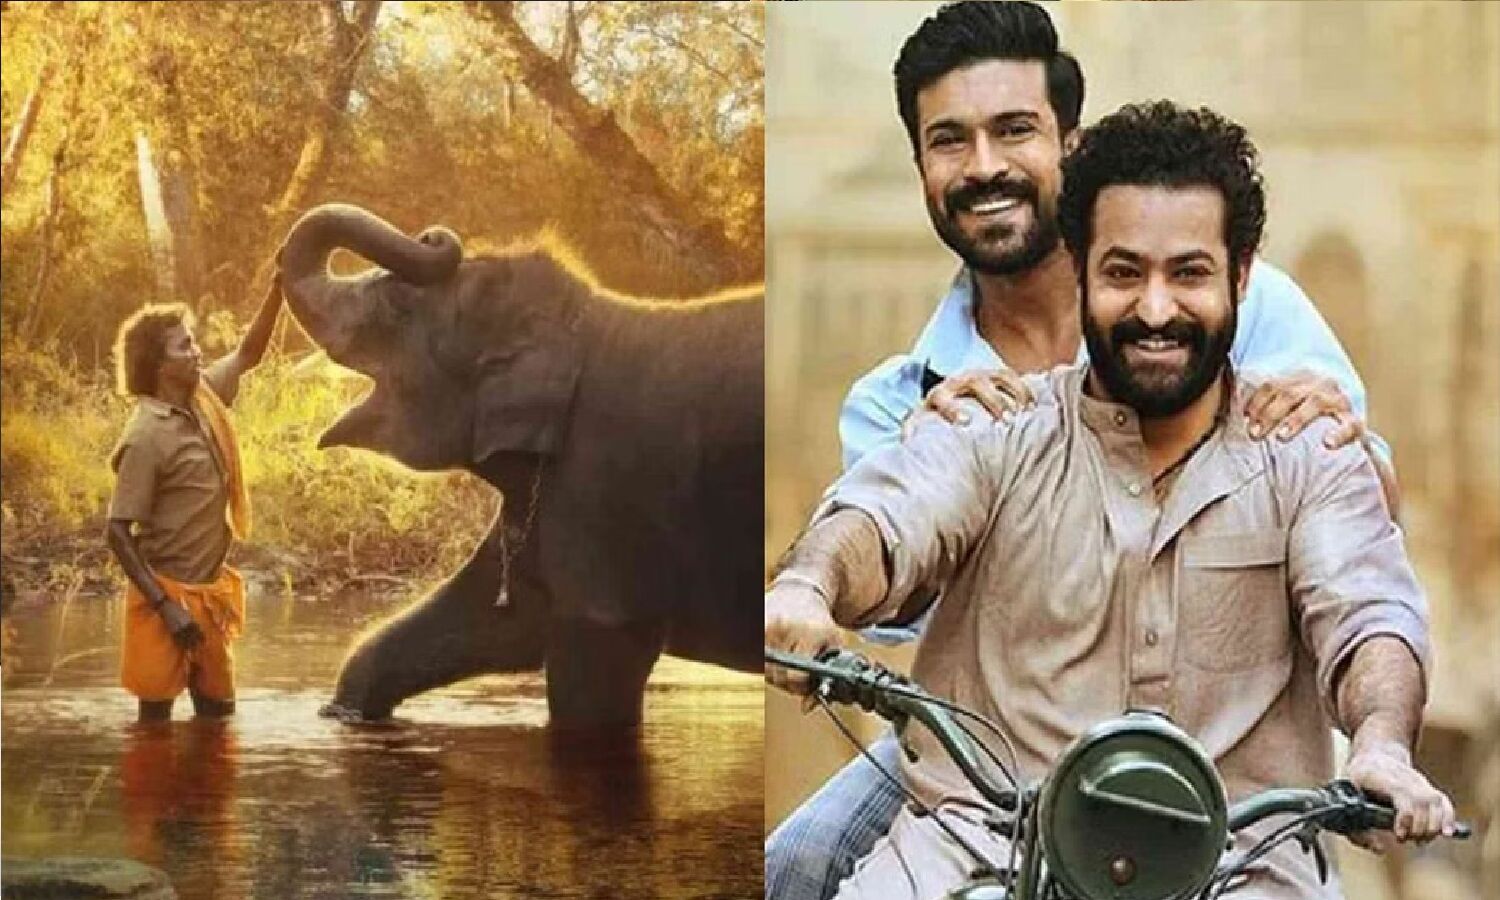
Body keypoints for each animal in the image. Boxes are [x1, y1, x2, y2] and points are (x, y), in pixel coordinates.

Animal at [277, 203, 763, 726]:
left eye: (399, 306)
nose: (432, 235)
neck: (582, 323)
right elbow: (496, 620)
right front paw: (342, 714)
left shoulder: (605, 491)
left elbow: (591, 672)